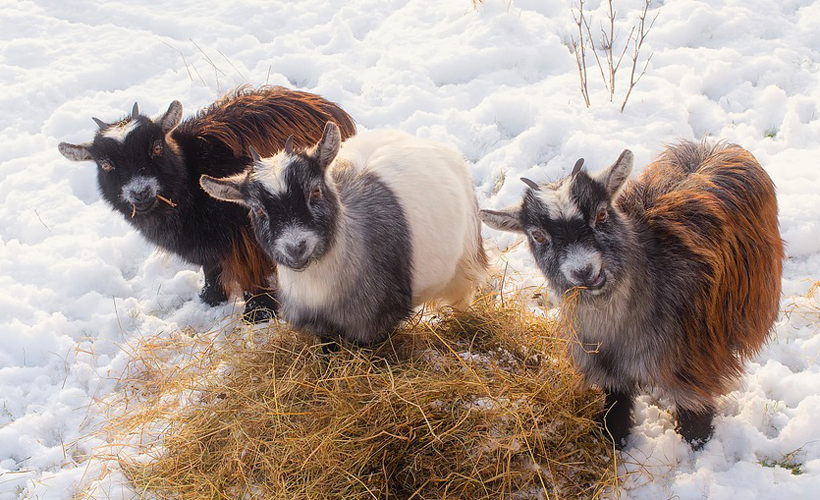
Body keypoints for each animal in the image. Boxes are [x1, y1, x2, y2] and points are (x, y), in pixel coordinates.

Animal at [58, 86, 357, 322]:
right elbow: (211, 267)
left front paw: (259, 312)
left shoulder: (245, 237)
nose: (140, 192)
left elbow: (252, 271)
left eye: (156, 148)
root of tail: (328, 106)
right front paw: (211, 297)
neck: (190, 182)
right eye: (106, 164)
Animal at [199, 122, 488, 346]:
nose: (295, 247)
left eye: (315, 191)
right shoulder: (319, 326)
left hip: (465, 262)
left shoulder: (374, 323)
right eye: (258, 210)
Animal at [480, 141, 784, 449]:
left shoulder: (692, 366)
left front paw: (698, 448)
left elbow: (695, 420)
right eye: (538, 235)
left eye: (602, 214)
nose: (584, 271)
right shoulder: (608, 371)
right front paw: (615, 442)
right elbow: (615, 410)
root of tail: (711, 146)